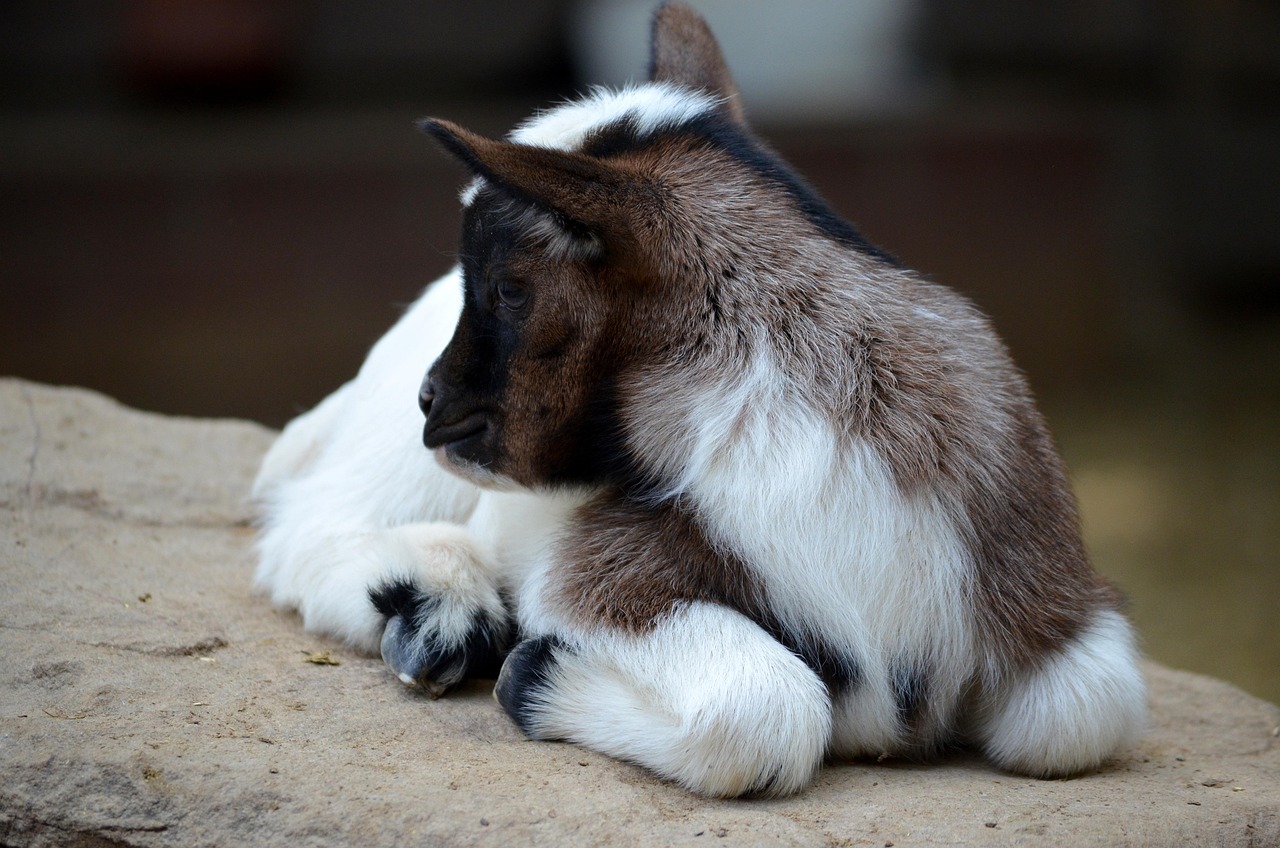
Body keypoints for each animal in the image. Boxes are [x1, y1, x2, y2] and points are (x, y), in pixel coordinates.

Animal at [253, 2, 1146, 798]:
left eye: (510, 288)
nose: (431, 398)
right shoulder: (607, 575)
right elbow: (769, 709)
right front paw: (532, 674)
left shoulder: (1056, 599)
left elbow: (1081, 714)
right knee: (308, 526)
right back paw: (439, 607)